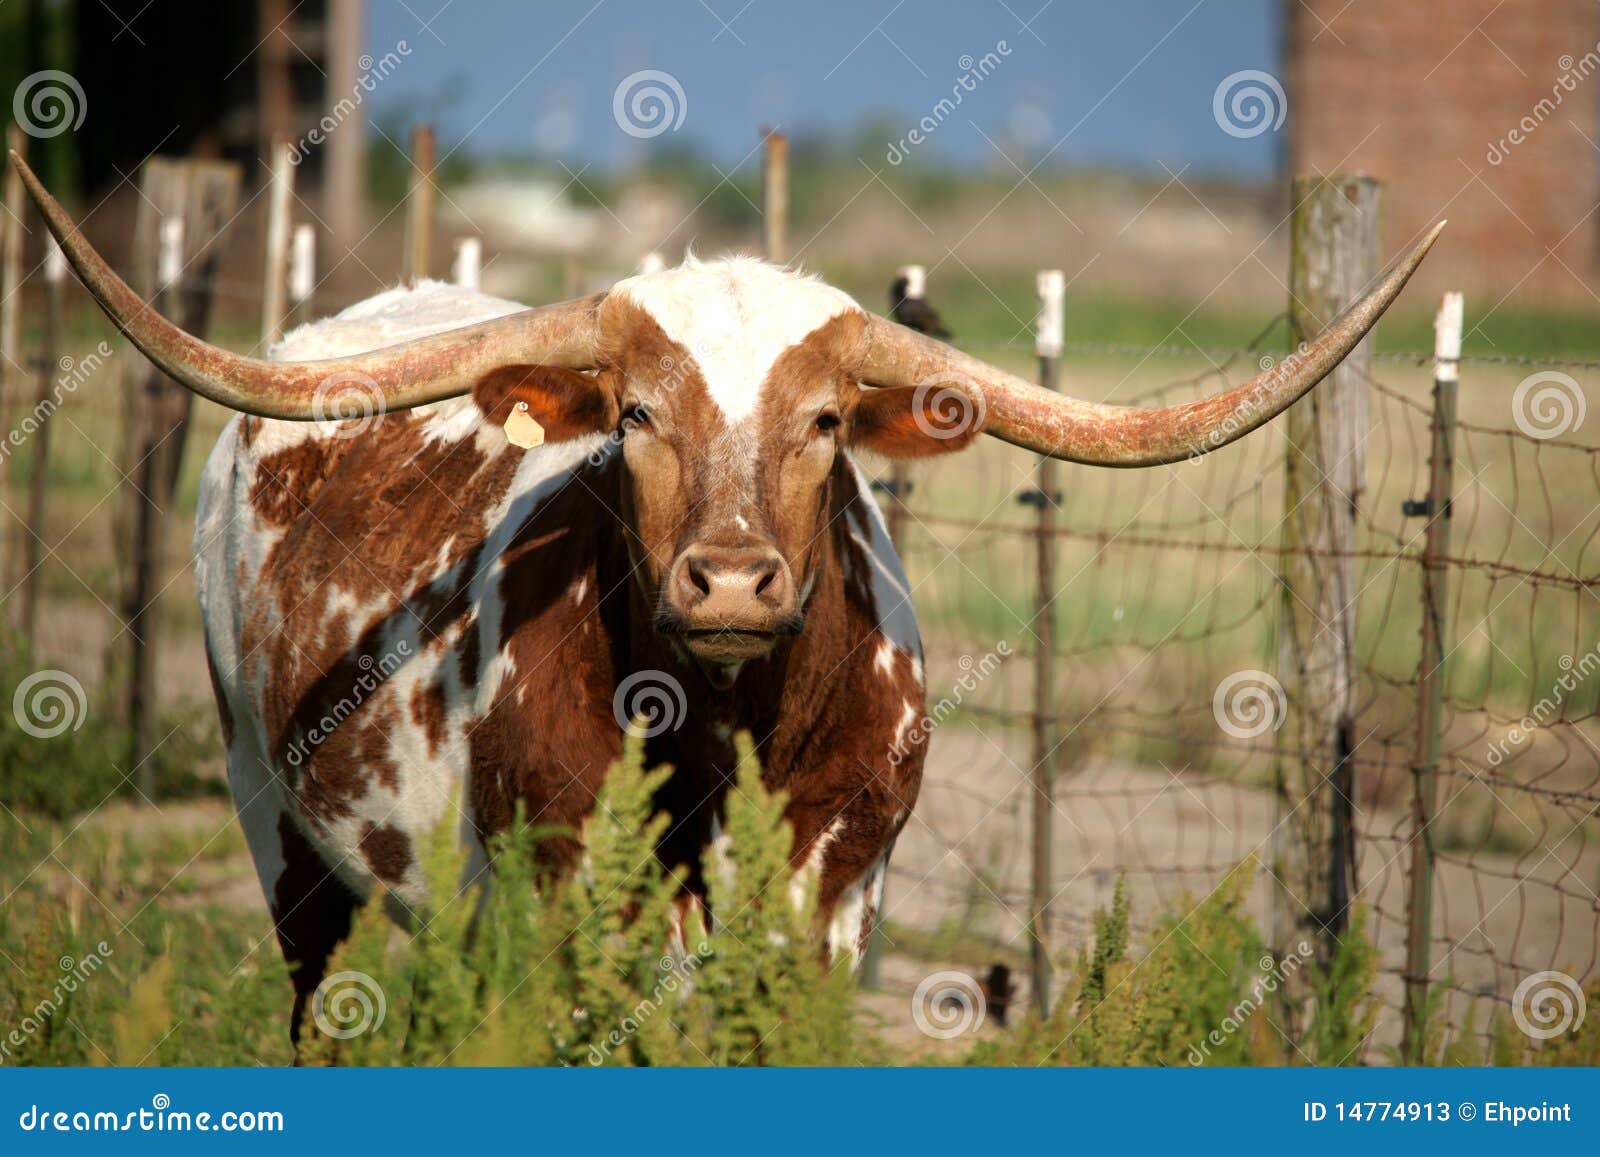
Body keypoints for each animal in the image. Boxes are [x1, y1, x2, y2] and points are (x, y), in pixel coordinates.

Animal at [11, 154, 1442, 1036]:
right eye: (638, 413)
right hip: (271, 812)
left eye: (825, 420)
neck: (723, 730)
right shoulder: (567, 912)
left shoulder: (837, 913)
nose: (735, 578)